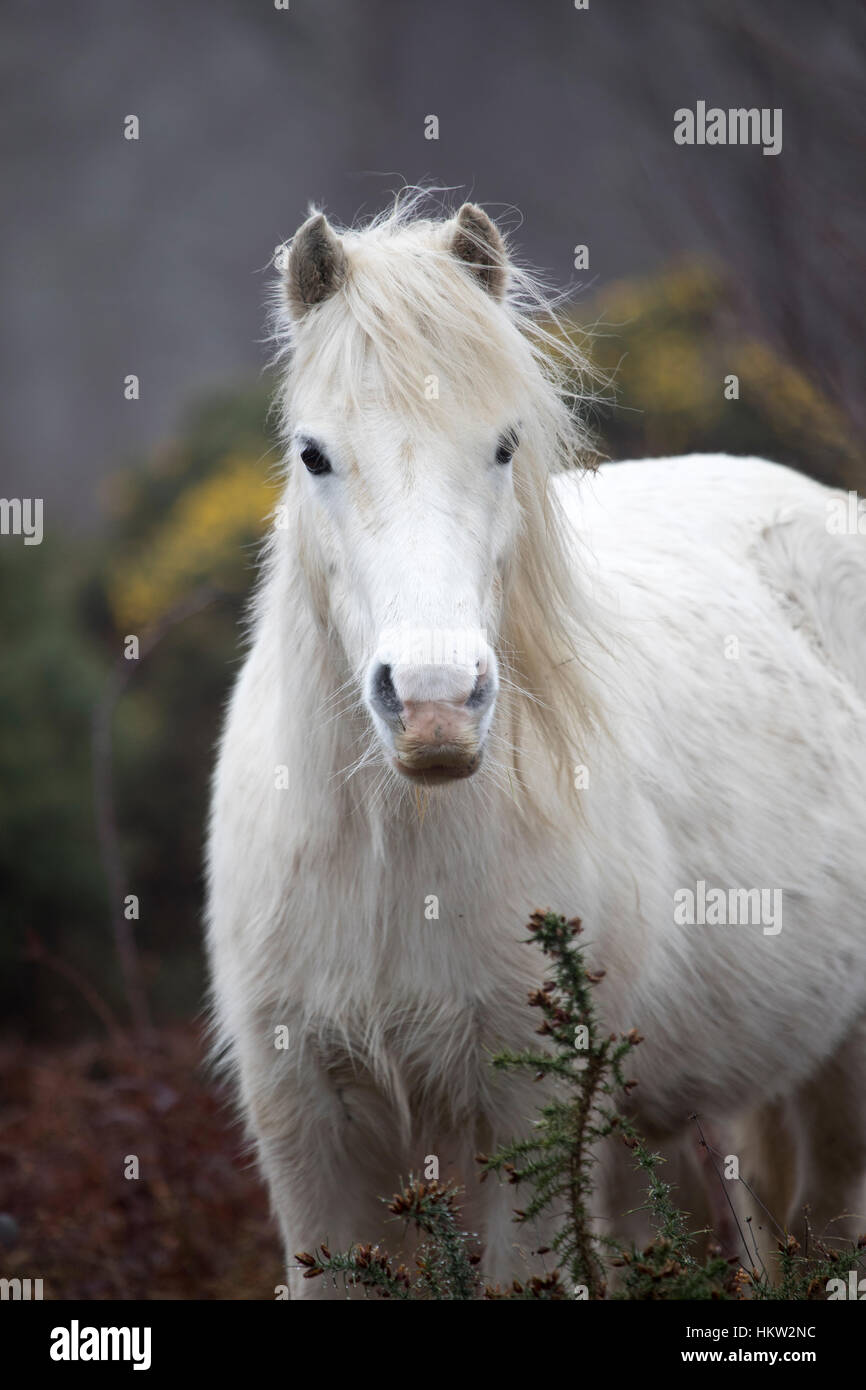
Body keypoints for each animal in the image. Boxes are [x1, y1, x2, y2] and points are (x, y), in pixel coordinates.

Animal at [206, 196, 866, 1297]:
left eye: (504, 447)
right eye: (313, 454)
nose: (435, 706)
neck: (395, 853)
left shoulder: (526, 1118)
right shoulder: (309, 1137)